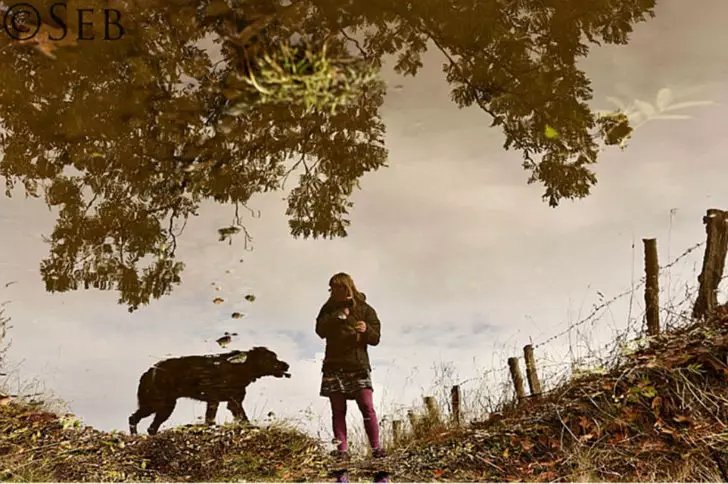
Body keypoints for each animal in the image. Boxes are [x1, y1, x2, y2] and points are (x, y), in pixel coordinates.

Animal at [128, 346, 290, 436]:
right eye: (271, 358)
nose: (286, 365)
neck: (240, 367)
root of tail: (148, 372)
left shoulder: (224, 402)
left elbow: (212, 421)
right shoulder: (228, 402)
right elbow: (243, 419)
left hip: (163, 406)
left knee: (149, 427)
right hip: (157, 404)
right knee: (134, 419)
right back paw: (135, 437)